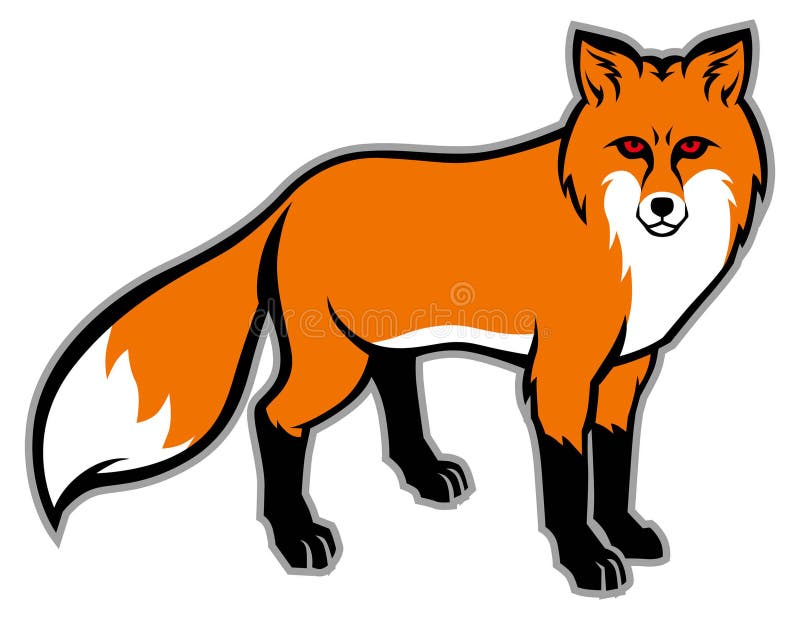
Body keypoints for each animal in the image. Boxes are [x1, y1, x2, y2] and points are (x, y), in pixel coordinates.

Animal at [28, 23, 769, 596]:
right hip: (333, 363)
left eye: (692, 147)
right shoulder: (560, 373)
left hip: (382, 341)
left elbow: (615, 464)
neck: (626, 246)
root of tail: (291, 195)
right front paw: (585, 560)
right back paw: (296, 536)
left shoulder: (626, 370)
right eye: (632, 148)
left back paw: (425, 472)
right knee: (271, 416)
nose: (662, 207)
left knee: (395, 392)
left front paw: (626, 533)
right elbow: (567, 480)